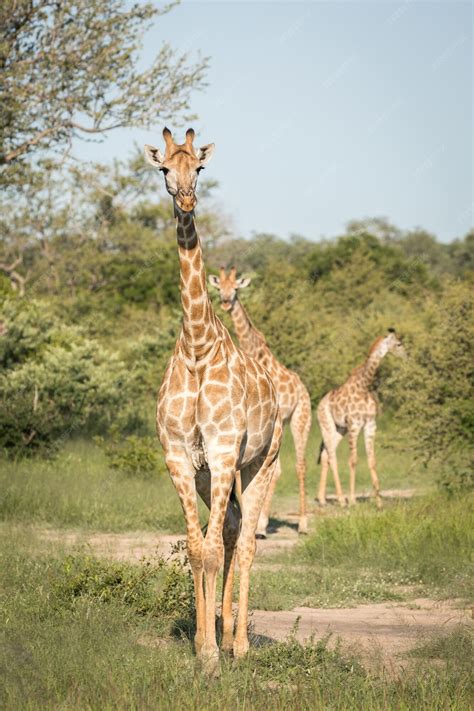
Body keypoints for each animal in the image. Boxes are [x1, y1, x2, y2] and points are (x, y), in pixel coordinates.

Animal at [144, 128, 282, 671]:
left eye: (199, 168)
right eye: (164, 169)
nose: (185, 200)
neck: (198, 346)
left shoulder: (224, 452)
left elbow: (214, 548)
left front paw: (212, 654)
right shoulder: (181, 456)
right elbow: (195, 548)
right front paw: (203, 648)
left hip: (261, 461)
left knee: (244, 543)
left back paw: (239, 644)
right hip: (212, 474)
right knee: (228, 532)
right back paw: (223, 636)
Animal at [209, 267, 311, 536]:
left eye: (236, 288)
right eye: (219, 287)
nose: (225, 301)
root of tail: (303, 388)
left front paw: (255, 524)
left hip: (299, 419)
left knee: (299, 465)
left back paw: (301, 524)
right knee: (279, 469)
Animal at [316, 329, 406, 508]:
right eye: (399, 344)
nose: (407, 357)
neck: (364, 387)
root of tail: (320, 403)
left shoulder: (370, 425)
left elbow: (372, 461)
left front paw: (379, 502)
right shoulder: (354, 425)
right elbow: (353, 460)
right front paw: (352, 500)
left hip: (339, 429)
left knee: (325, 454)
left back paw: (322, 500)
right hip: (326, 424)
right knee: (332, 456)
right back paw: (342, 500)